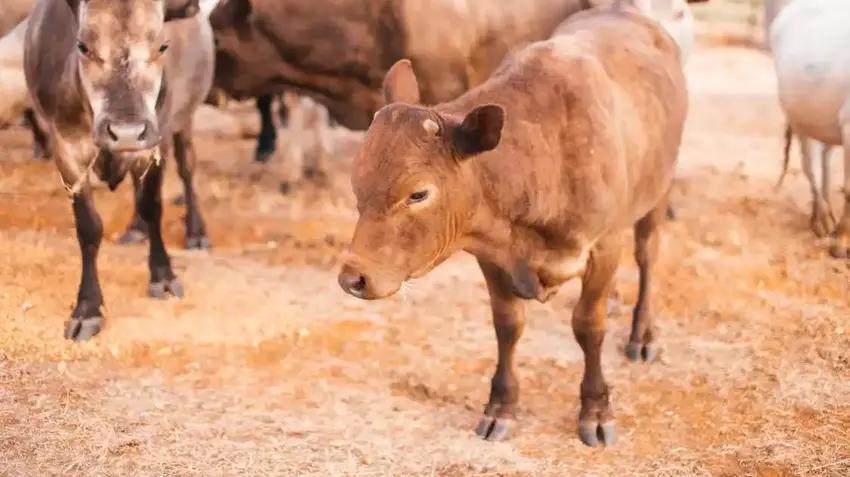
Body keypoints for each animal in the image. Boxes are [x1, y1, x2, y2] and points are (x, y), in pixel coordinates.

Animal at [24, 0, 205, 341]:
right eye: (83, 46)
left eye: (162, 46)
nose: (127, 133)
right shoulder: (66, 147)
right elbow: (88, 226)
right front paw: (87, 308)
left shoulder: (154, 142)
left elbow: (152, 207)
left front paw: (162, 275)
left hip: (183, 122)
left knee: (187, 170)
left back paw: (196, 232)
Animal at [337, 2, 688, 446]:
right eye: (357, 182)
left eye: (418, 194)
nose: (353, 278)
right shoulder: (491, 254)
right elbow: (507, 325)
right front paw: (500, 407)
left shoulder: (605, 244)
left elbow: (588, 326)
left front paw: (596, 409)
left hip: (658, 190)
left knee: (647, 256)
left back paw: (643, 334)